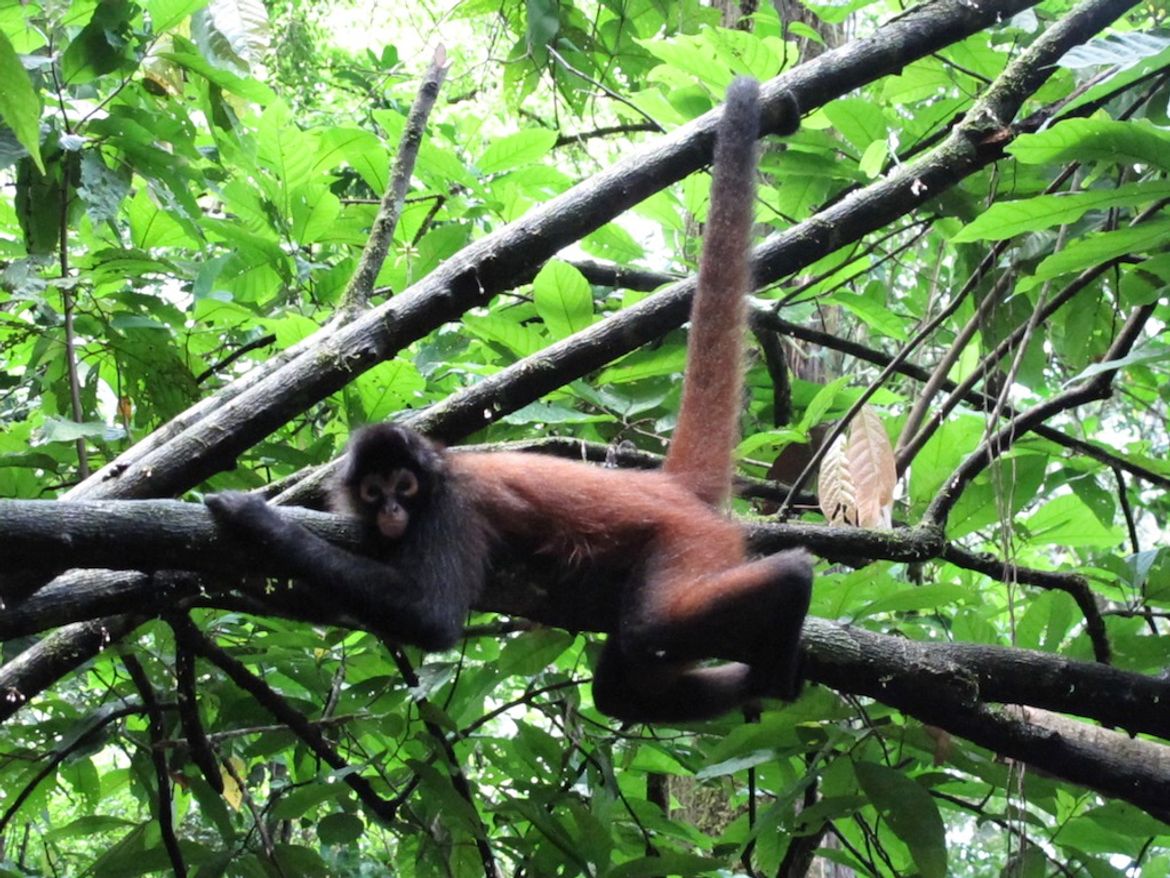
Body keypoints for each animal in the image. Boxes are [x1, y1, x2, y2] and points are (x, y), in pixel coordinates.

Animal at [206, 77, 812, 723]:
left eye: (405, 488)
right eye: (373, 492)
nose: (392, 512)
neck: (438, 475)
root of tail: (670, 487)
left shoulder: (453, 507)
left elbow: (433, 619)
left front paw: (255, 520)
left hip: (690, 542)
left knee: (652, 628)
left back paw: (795, 580)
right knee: (620, 685)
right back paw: (765, 680)